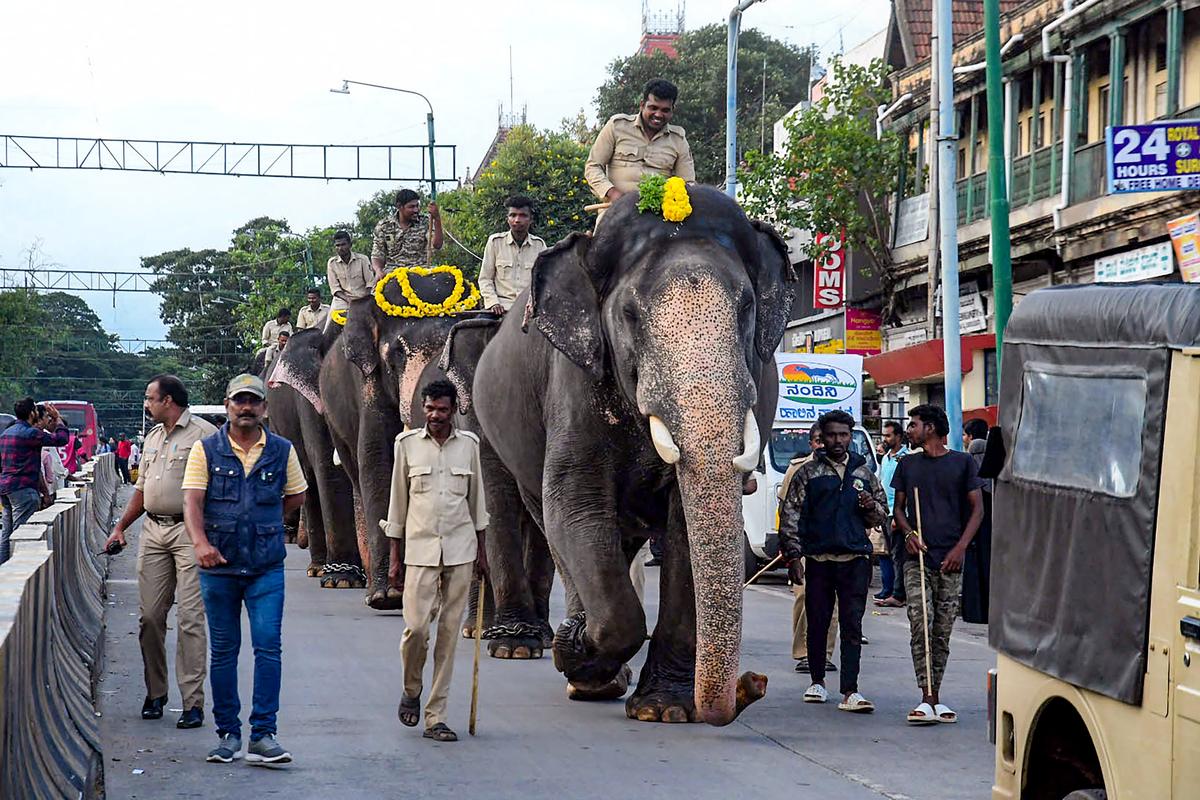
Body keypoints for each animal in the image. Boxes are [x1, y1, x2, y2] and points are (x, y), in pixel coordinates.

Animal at [452, 186, 794, 725]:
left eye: (745, 308)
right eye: (630, 315)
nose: (752, 685)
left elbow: (682, 528)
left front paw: (664, 709)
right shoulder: (574, 381)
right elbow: (576, 504)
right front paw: (576, 651)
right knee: (541, 519)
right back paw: (543, 652)